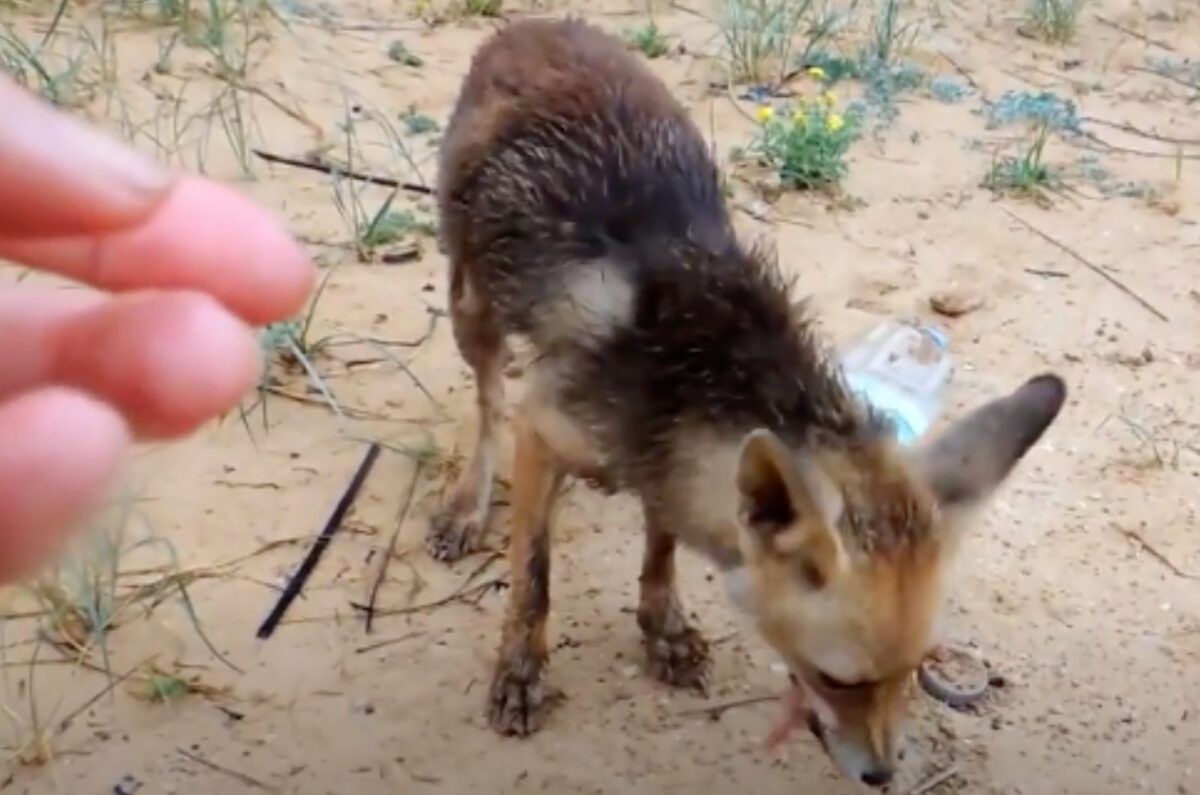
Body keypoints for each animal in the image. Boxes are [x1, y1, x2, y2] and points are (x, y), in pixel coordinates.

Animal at [426, 16, 1066, 788]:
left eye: (913, 673)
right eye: (839, 679)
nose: (883, 776)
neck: (696, 359)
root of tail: (532, 25)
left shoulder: (661, 453)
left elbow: (661, 541)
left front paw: (663, 626)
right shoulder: (545, 428)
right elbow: (533, 579)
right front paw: (521, 671)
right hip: (471, 308)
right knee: (489, 404)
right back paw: (468, 503)